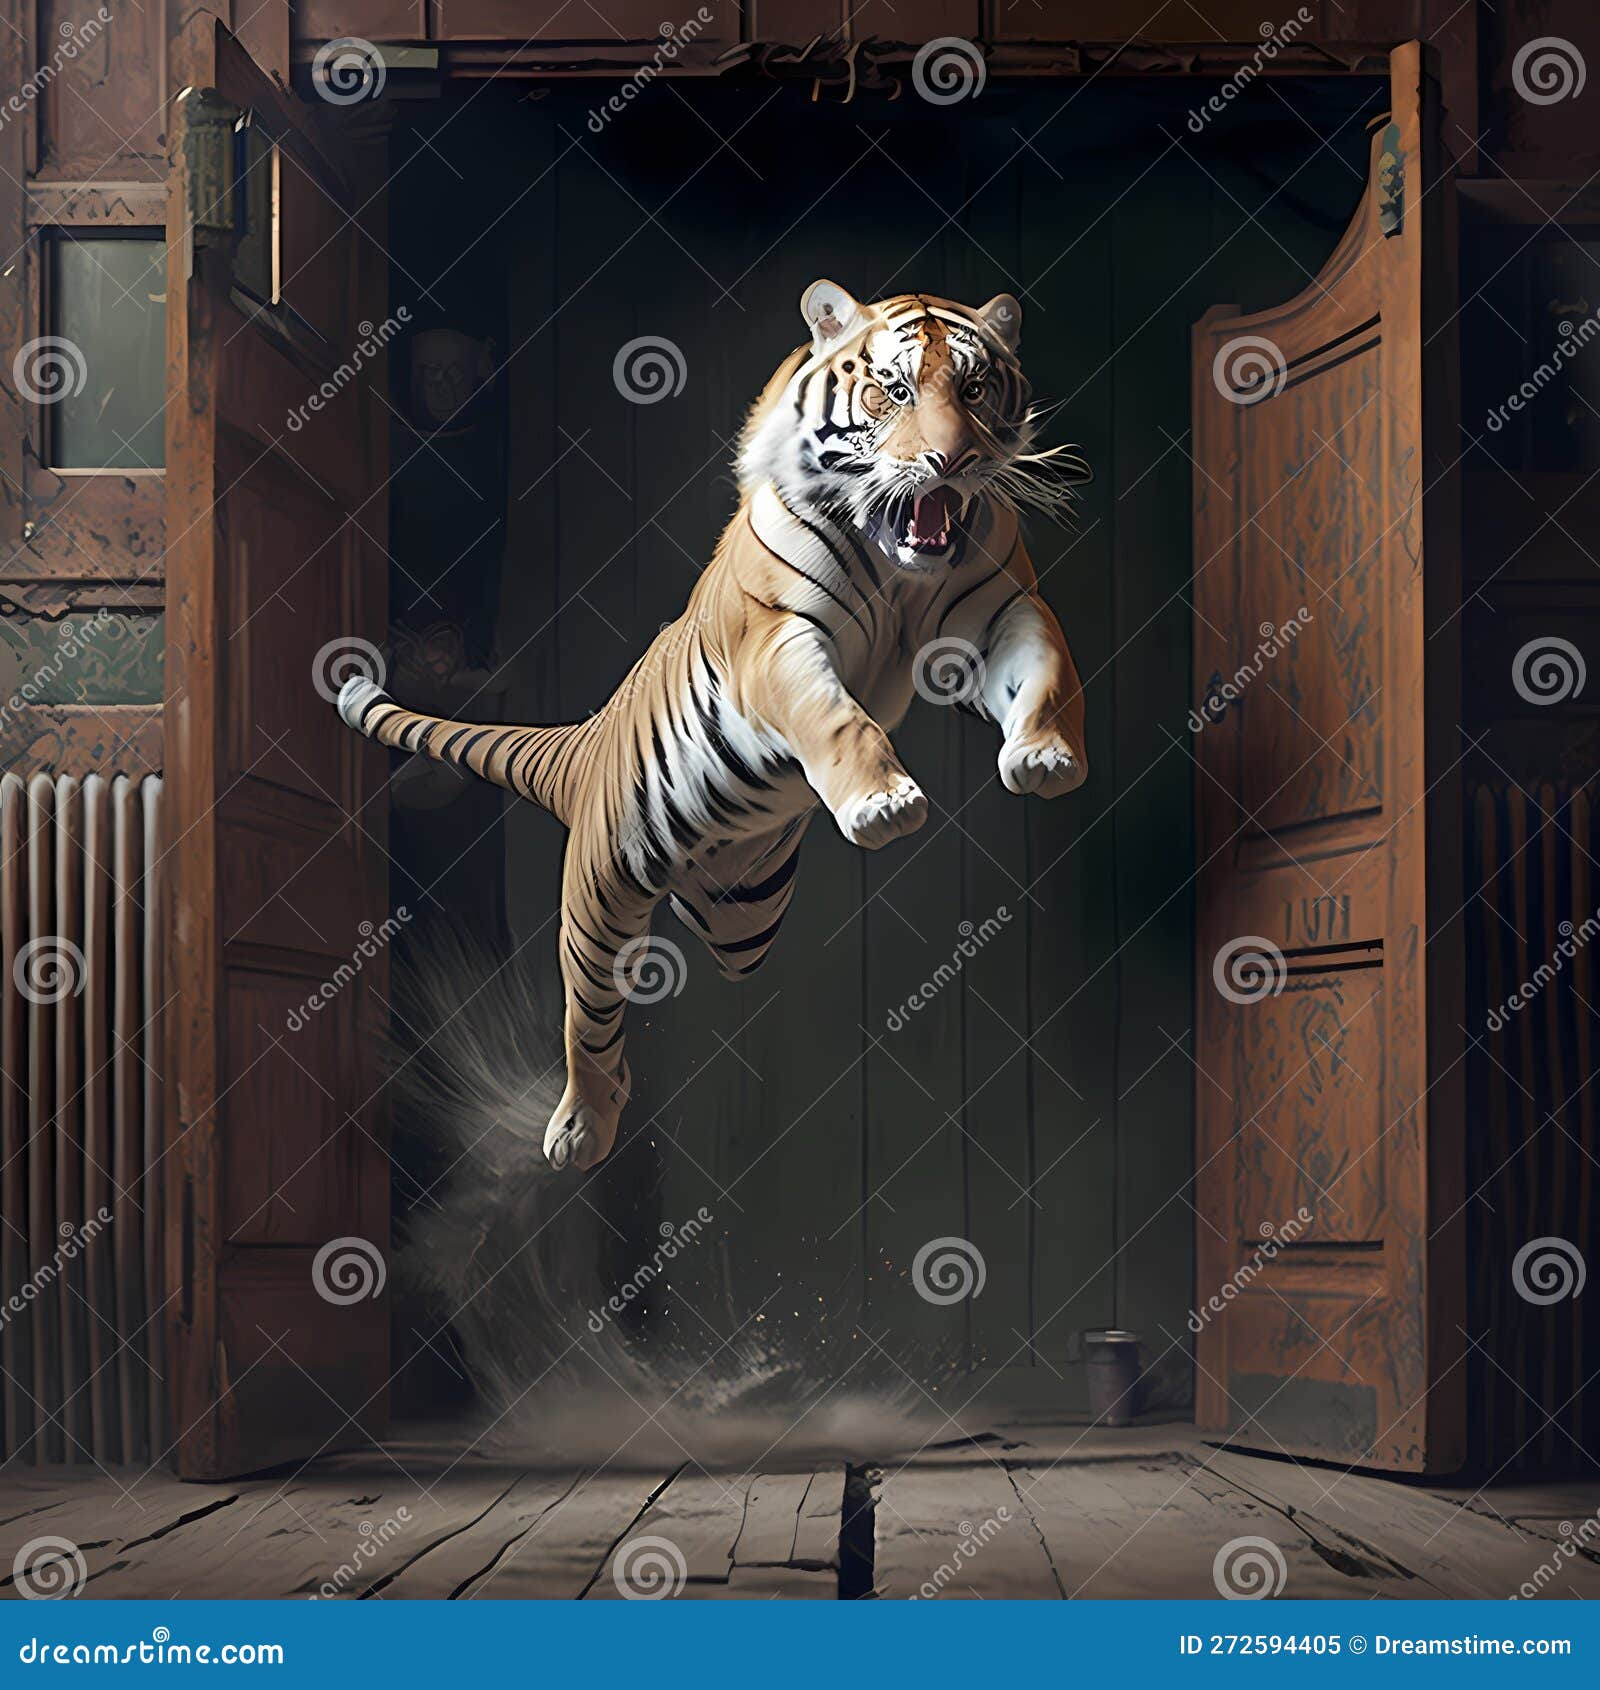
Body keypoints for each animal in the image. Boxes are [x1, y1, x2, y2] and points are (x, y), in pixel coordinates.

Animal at [336, 281, 1089, 1173]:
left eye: (974, 390)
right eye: (895, 390)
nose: (952, 461)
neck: (897, 566)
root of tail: (589, 738)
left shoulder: (1001, 609)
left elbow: (1046, 678)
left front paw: (1045, 755)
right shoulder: (778, 637)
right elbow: (835, 717)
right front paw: (883, 803)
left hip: (741, 921)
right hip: (597, 901)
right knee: (588, 1022)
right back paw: (578, 1130)